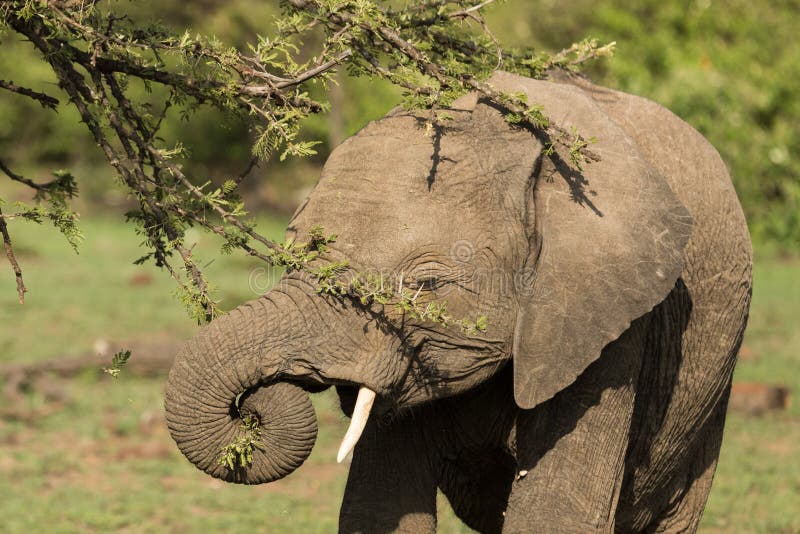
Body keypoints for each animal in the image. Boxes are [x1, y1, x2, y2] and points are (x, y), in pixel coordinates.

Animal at [164, 70, 752, 533]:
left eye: (426, 286)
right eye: (291, 252)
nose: (254, 406)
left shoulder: (606, 323)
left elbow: (552, 515)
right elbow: (379, 510)